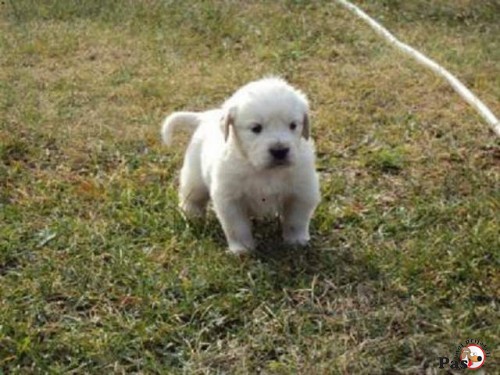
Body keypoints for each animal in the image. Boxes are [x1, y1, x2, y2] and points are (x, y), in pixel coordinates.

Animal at [162, 79, 322, 256]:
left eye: (293, 125)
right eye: (256, 128)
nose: (279, 151)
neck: (264, 171)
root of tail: (206, 117)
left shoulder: (302, 192)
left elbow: (296, 221)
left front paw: (296, 242)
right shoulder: (230, 199)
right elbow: (237, 228)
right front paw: (242, 249)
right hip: (194, 177)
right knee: (192, 197)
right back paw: (192, 216)